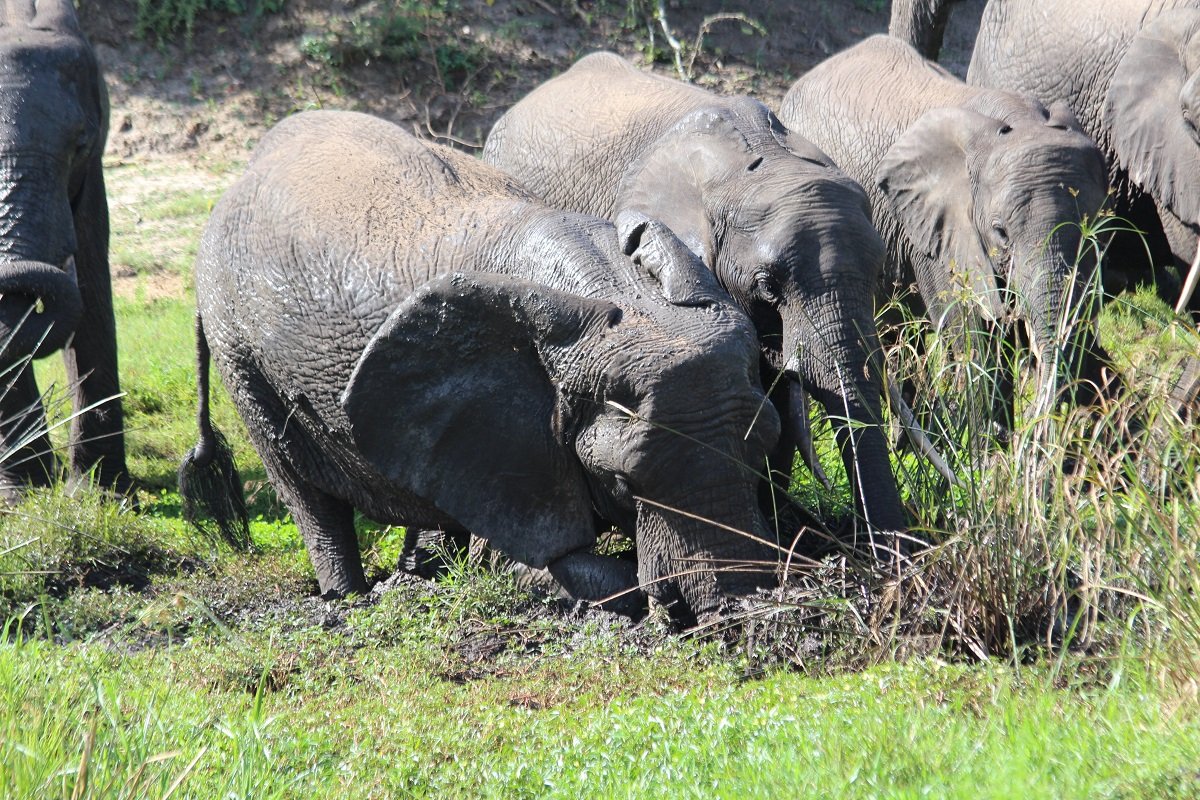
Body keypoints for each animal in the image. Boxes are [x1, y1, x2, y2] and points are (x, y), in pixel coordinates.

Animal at [179, 109, 784, 623]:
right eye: (622, 481)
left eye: (762, 453)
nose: (727, 615)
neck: (618, 291)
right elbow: (542, 561)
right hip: (240, 351)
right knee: (305, 491)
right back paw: (349, 599)